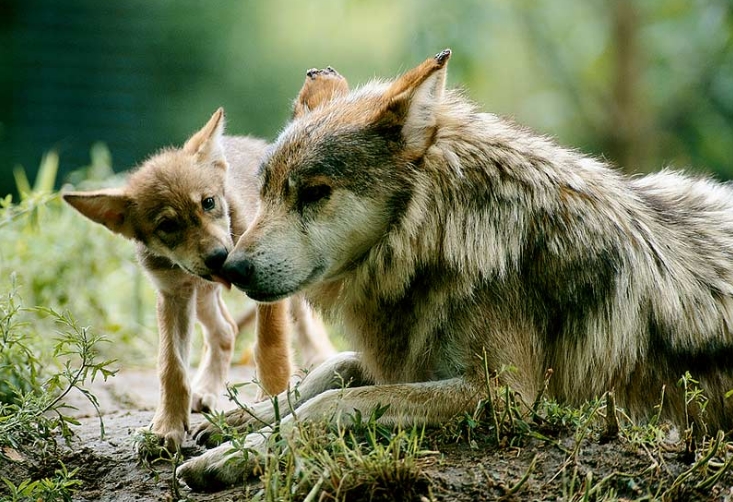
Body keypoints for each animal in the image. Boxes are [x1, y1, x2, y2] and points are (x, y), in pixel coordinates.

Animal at [62, 71, 344, 451]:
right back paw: (206, 390)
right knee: (224, 331)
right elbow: (172, 367)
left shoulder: (266, 289)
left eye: (208, 202)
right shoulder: (172, 296)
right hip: (203, 298)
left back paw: (320, 360)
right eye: (167, 226)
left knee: (303, 324)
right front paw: (166, 427)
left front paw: (270, 402)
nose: (220, 258)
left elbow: (270, 347)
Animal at [178, 49, 733, 490]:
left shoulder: (504, 396)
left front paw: (234, 455)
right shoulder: (407, 357)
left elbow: (334, 402)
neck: (446, 234)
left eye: (315, 193)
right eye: (266, 190)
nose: (232, 267)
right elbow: (328, 372)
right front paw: (232, 422)